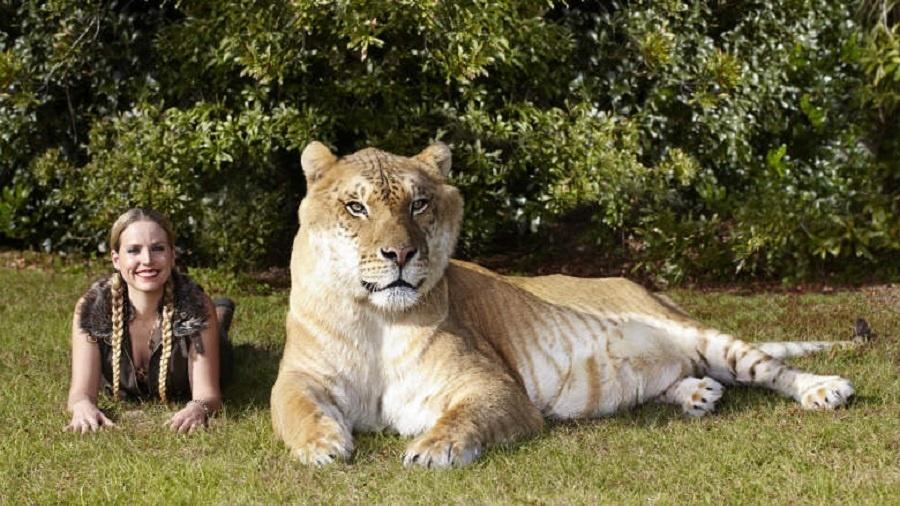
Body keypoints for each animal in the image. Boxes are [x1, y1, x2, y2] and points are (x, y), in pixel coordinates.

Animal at [270, 141, 856, 468]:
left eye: (418, 204)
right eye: (356, 207)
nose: (400, 254)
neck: (376, 317)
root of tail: (648, 288)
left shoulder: (492, 386)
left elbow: (463, 417)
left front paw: (433, 449)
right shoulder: (300, 376)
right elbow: (295, 408)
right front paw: (322, 445)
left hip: (700, 334)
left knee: (770, 368)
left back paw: (824, 389)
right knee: (685, 374)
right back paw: (698, 393)